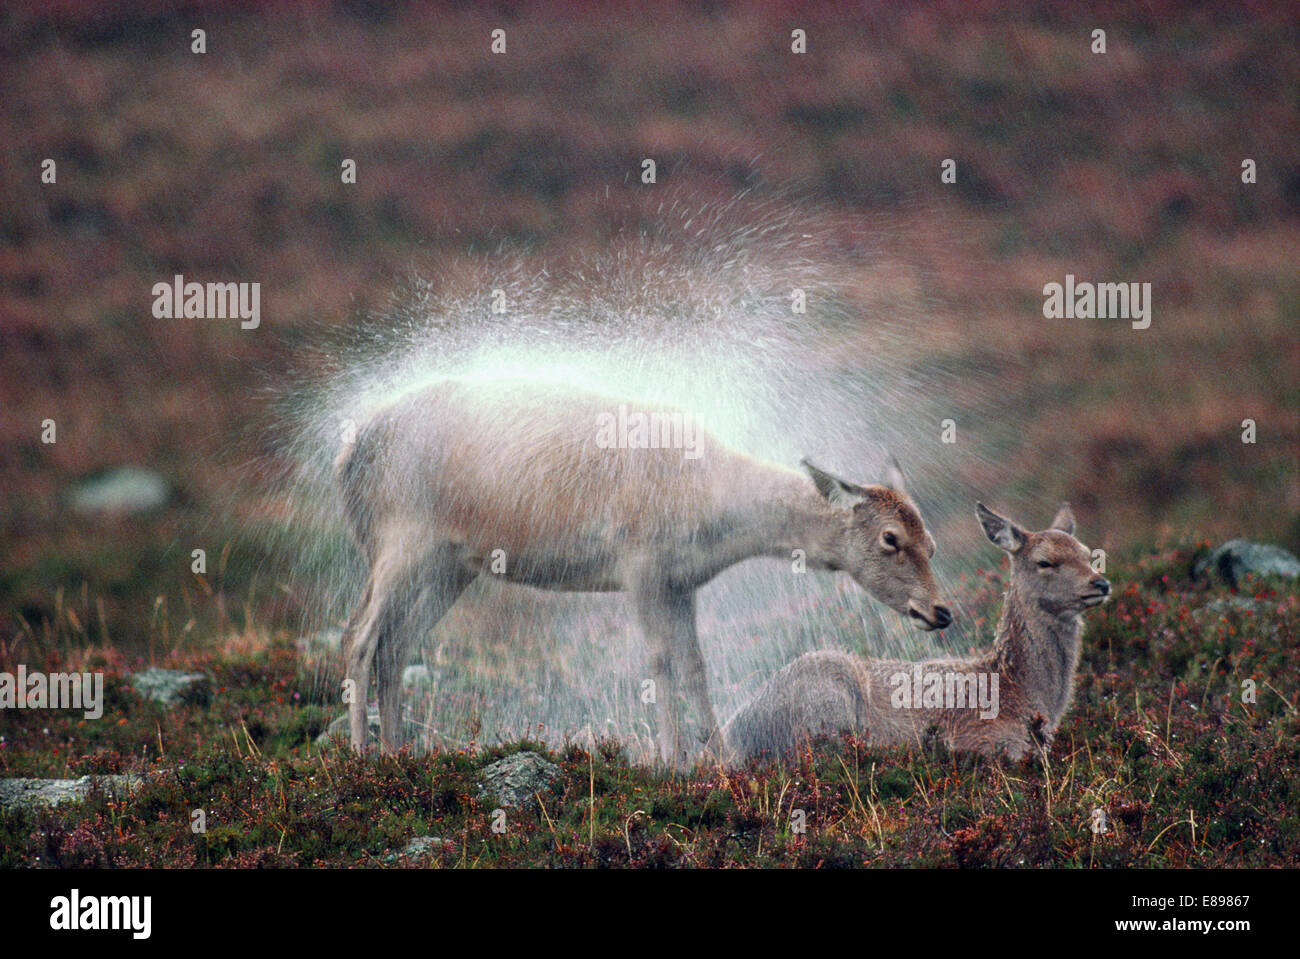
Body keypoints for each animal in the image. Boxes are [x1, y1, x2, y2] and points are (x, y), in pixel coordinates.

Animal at [334, 375, 953, 767]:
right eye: (891, 538)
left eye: (931, 539)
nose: (940, 610)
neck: (713, 505)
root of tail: (347, 456)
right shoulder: (641, 567)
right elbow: (659, 663)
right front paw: (670, 761)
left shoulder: (682, 584)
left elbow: (695, 664)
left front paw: (721, 760)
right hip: (402, 542)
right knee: (359, 636)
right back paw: (362, 756)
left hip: (450, 566)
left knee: (397, 642)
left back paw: (399, 754)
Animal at [719, 501, 1111, 764]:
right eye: (1045, 562)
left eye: (1087, 553)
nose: (1101, 583)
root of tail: (729, 734)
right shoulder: (980, 737)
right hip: (825, 698)